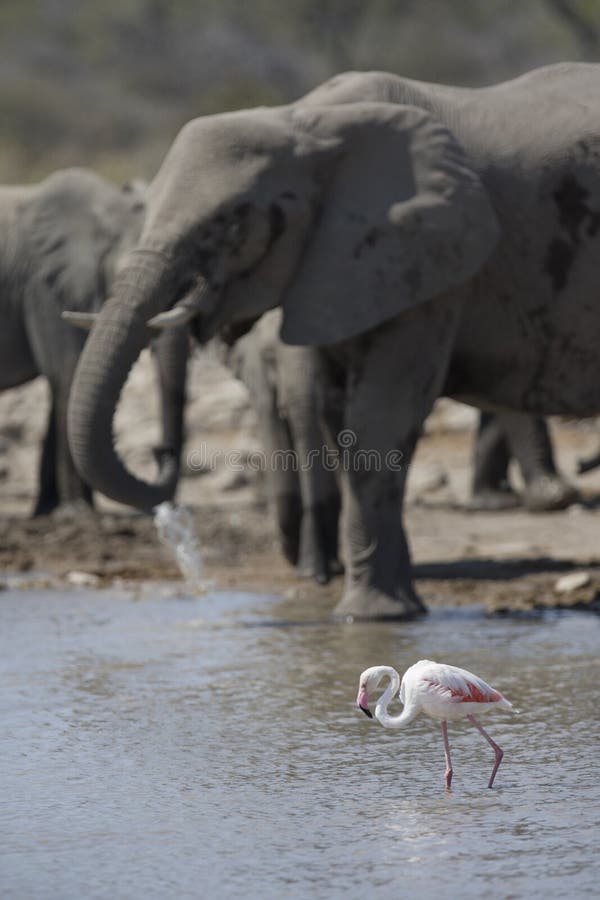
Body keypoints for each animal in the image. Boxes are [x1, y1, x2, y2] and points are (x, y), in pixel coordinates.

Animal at [67, 63, 600, 619]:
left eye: (229, 225)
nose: (158, 455)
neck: (303, 121)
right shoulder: (346, 265)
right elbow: (338, 419)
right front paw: (395, 607)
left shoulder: (428, 263)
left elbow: (379, 420)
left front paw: (371, 616)